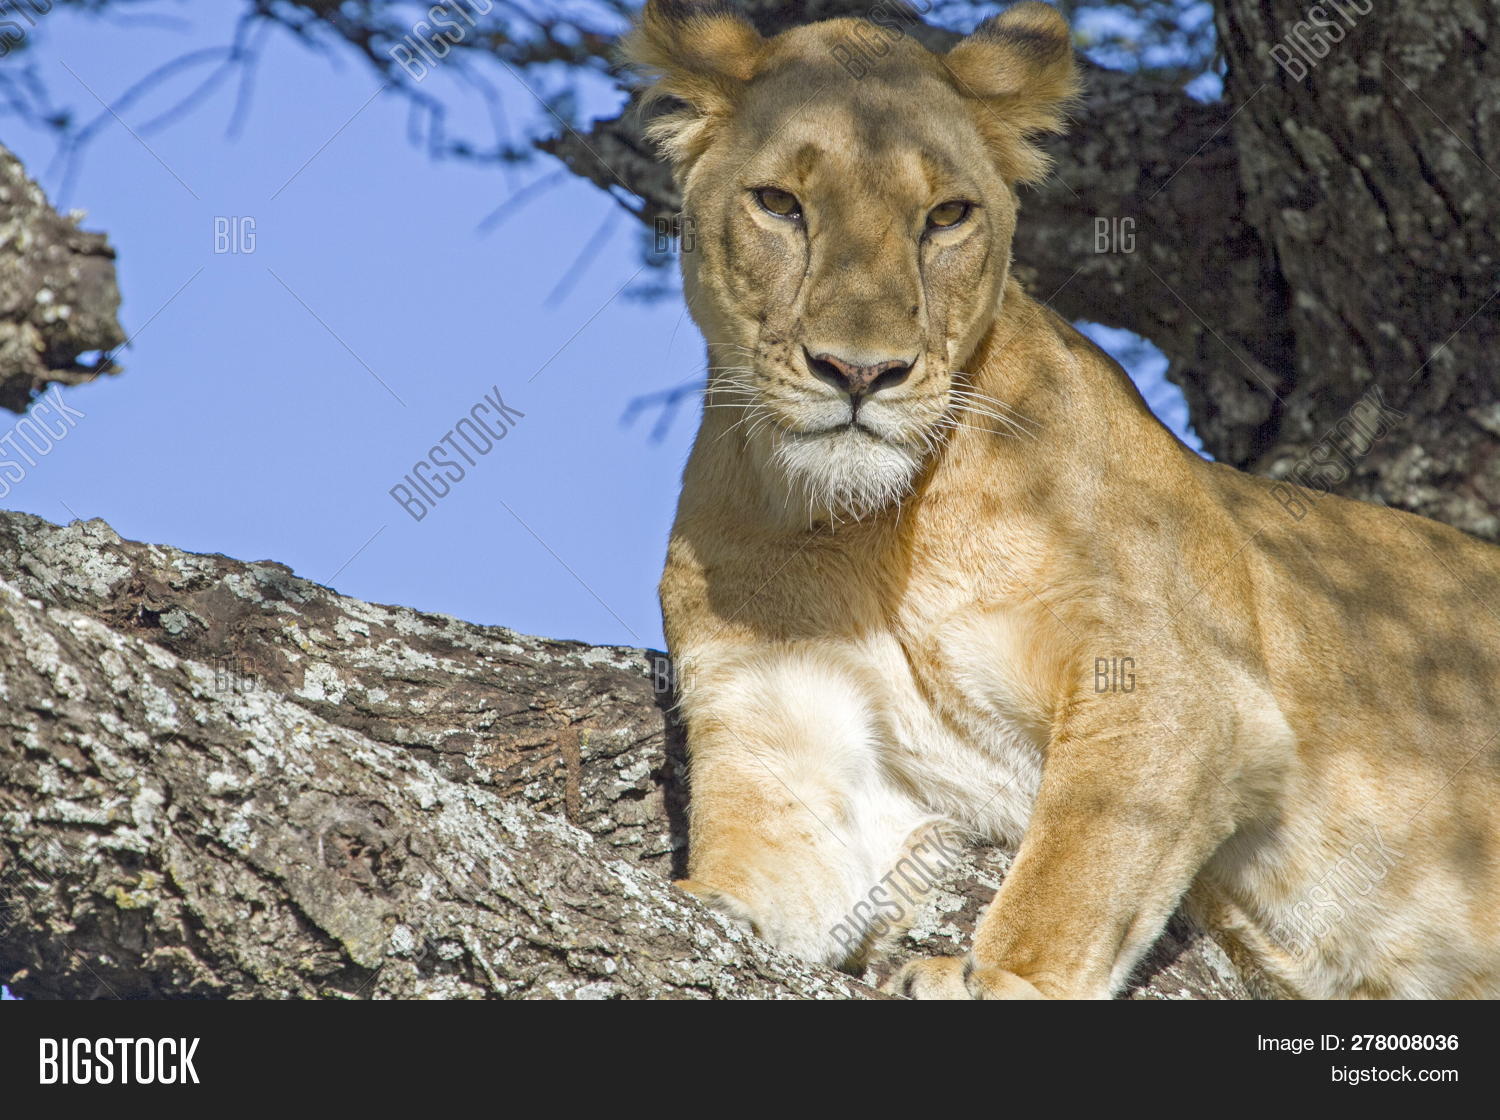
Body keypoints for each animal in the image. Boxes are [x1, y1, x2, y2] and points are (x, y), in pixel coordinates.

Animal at [629, 0, 1500, 998]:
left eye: (947, 217)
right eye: (779, 204)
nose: (861, 373)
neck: (858, 527)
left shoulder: (1177, 683)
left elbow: (1077, 857)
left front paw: (998, 976)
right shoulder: (777, 732)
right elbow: (751, 883)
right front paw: (704, 908)